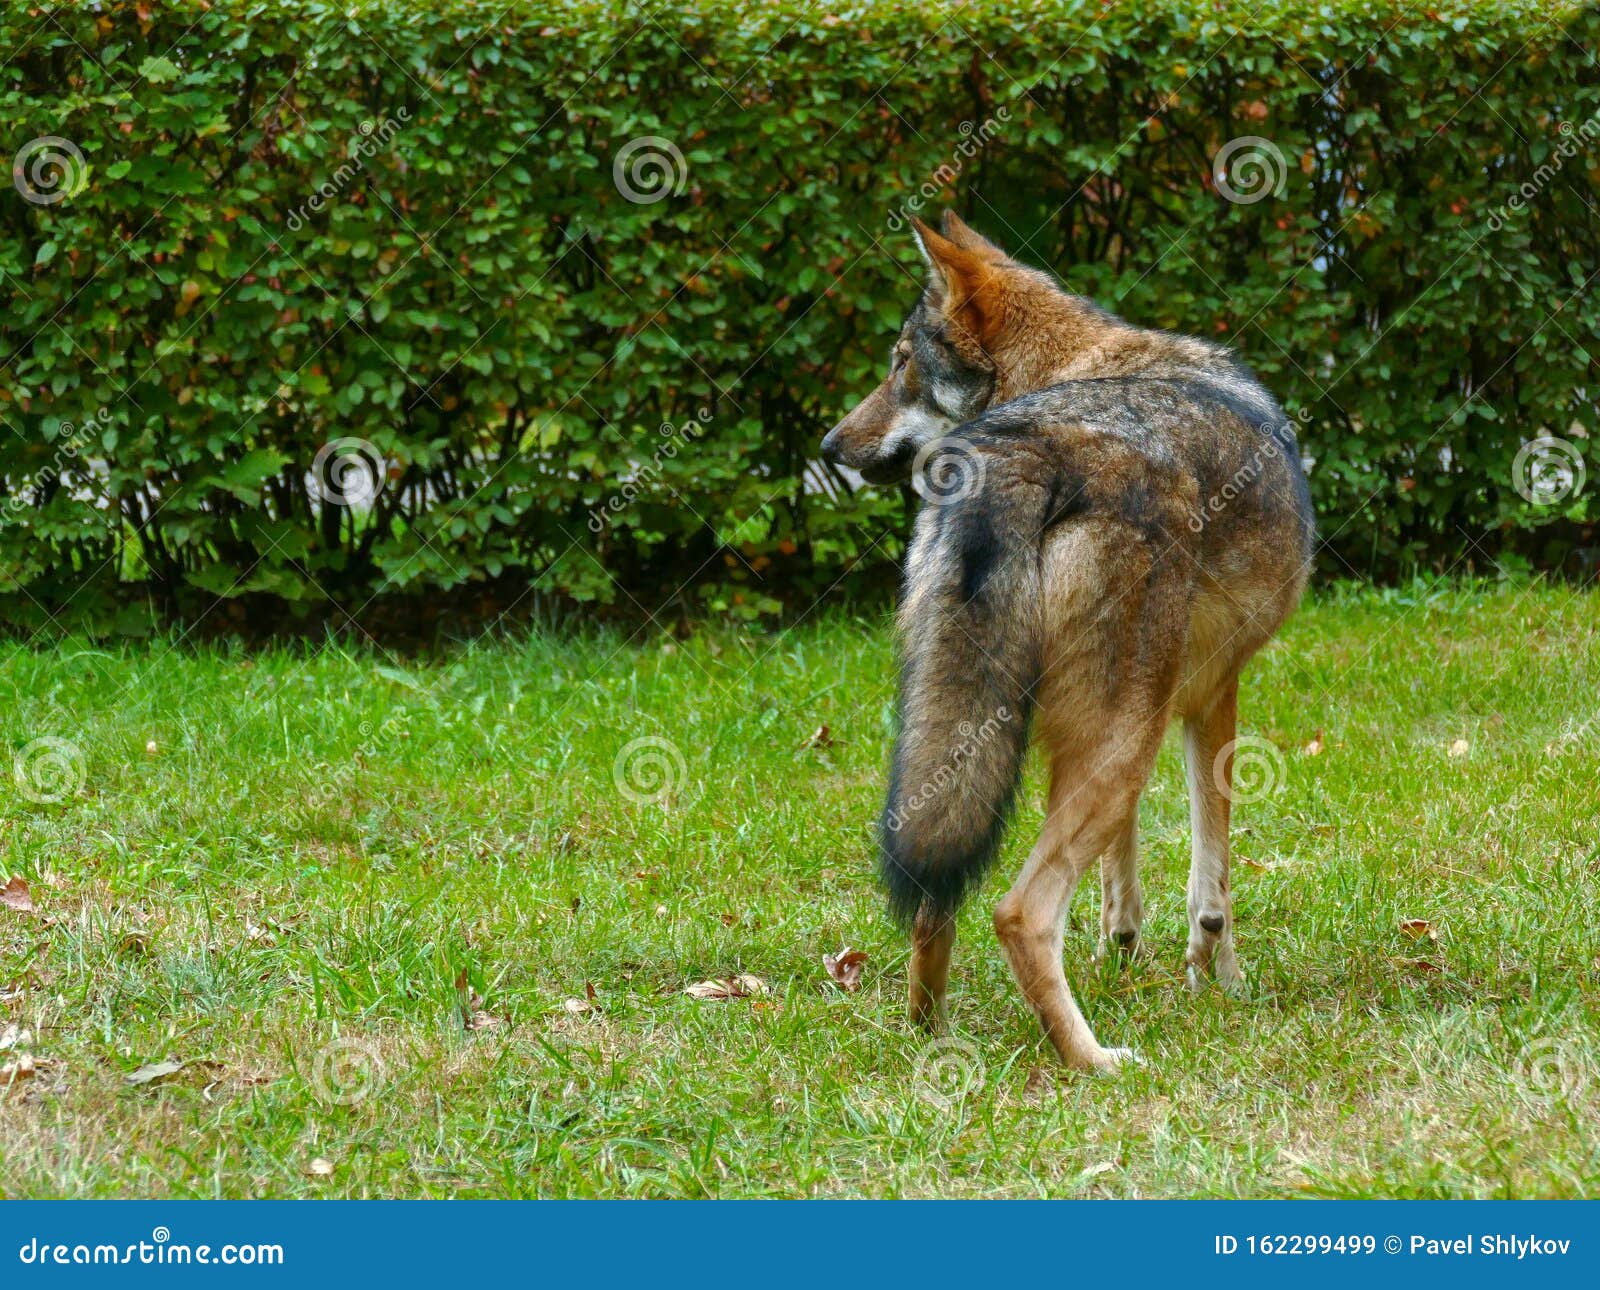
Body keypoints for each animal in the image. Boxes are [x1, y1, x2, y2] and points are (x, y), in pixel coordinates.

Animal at [821, 211, 1314, 1070]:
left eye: (900, 366)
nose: (827, 447)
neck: (1082, 360)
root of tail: (1019, 455)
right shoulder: (1212, 699)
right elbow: (1212, 883)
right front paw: (1220, 983)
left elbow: (1127, 862)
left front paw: (1126, 949)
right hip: (1128, 739)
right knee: (1020, 911)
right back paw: (1092, 1059)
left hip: (973, 741)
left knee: (935, 896)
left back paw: (934, 1034)